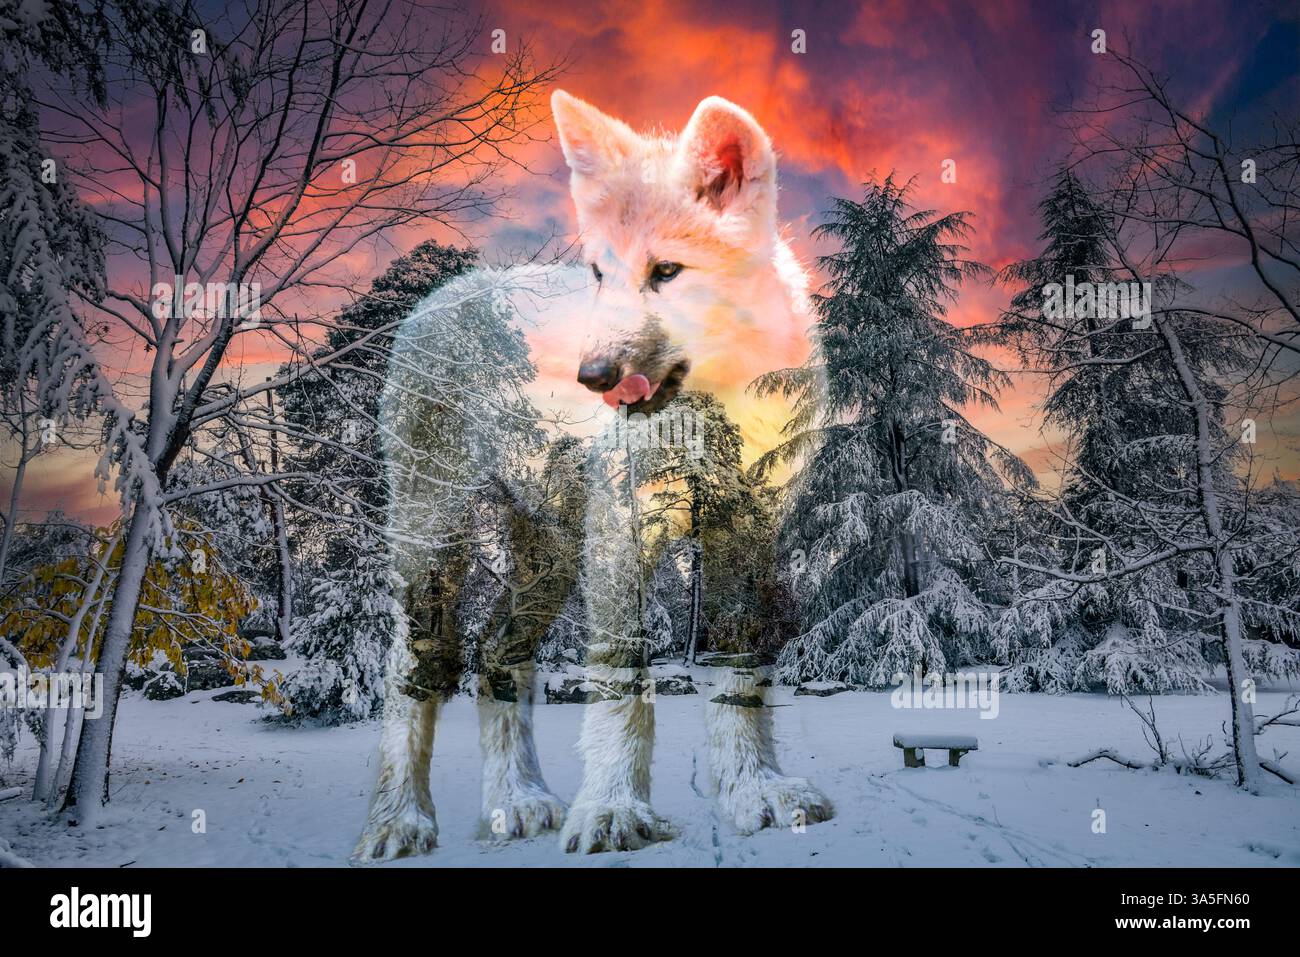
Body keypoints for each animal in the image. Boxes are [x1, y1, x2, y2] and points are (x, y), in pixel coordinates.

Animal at [352, 91, 832, 862]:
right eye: (601, 275)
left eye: (666, 272)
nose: (593, 375)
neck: (721, 403)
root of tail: (445, 292)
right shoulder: (623, 531)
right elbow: (621, 679)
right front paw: (612, 810)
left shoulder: (750, 533)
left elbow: (741, 672)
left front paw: (755, 792)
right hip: (434, 544)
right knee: (412, 671)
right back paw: (398, 820)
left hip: (548, 558)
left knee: (495, 654)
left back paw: (516, 804)